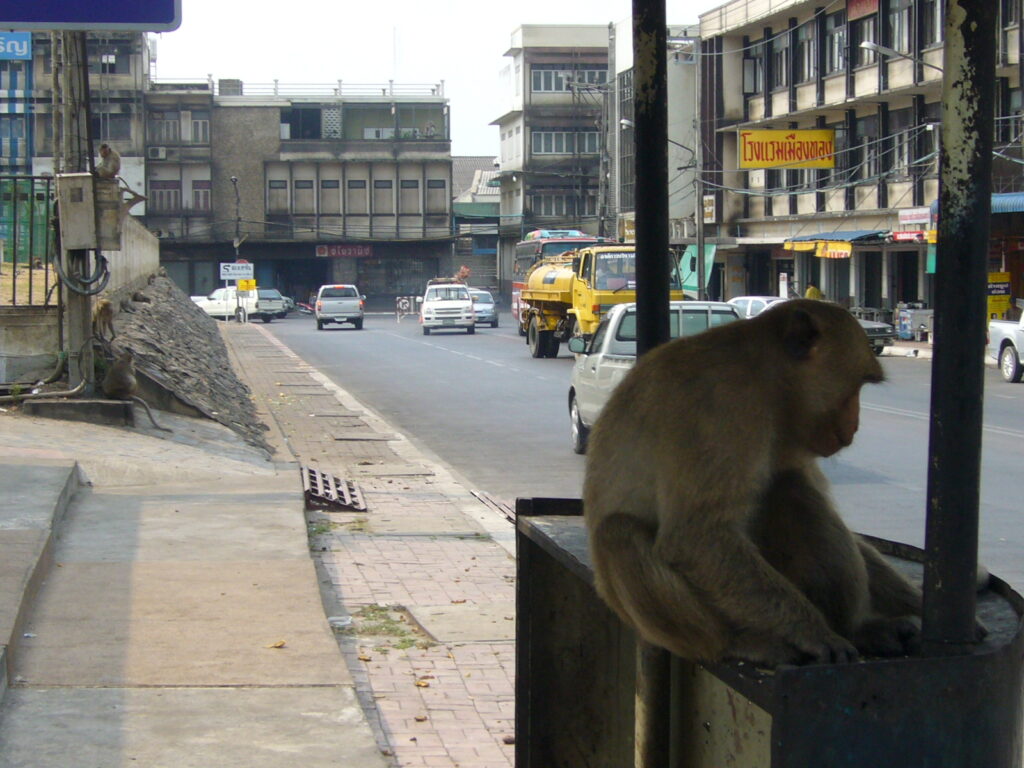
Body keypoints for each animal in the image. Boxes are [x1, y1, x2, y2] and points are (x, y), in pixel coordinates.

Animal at [583, 299, 923, 667]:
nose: (855, 426)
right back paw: (738, 642)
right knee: (617, 533)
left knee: (788, 486)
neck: (764, 378)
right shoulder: (721, 408)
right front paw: (813, 632)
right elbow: (695, 539)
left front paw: (918, 603)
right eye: (858, 384)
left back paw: (857, 629)